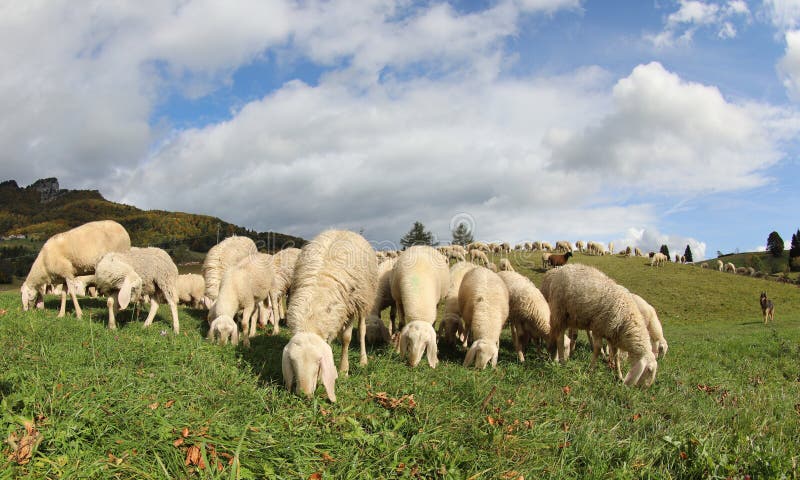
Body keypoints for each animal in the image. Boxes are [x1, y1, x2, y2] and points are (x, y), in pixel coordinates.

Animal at [282, 230, 377, 402]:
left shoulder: (349, 306)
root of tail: (344, 230)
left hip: (363, 299)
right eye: (292, 361)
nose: (304, 395)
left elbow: (346, 338)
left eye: (319, 362)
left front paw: (344, 370)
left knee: (361, 330)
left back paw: (363, 360)